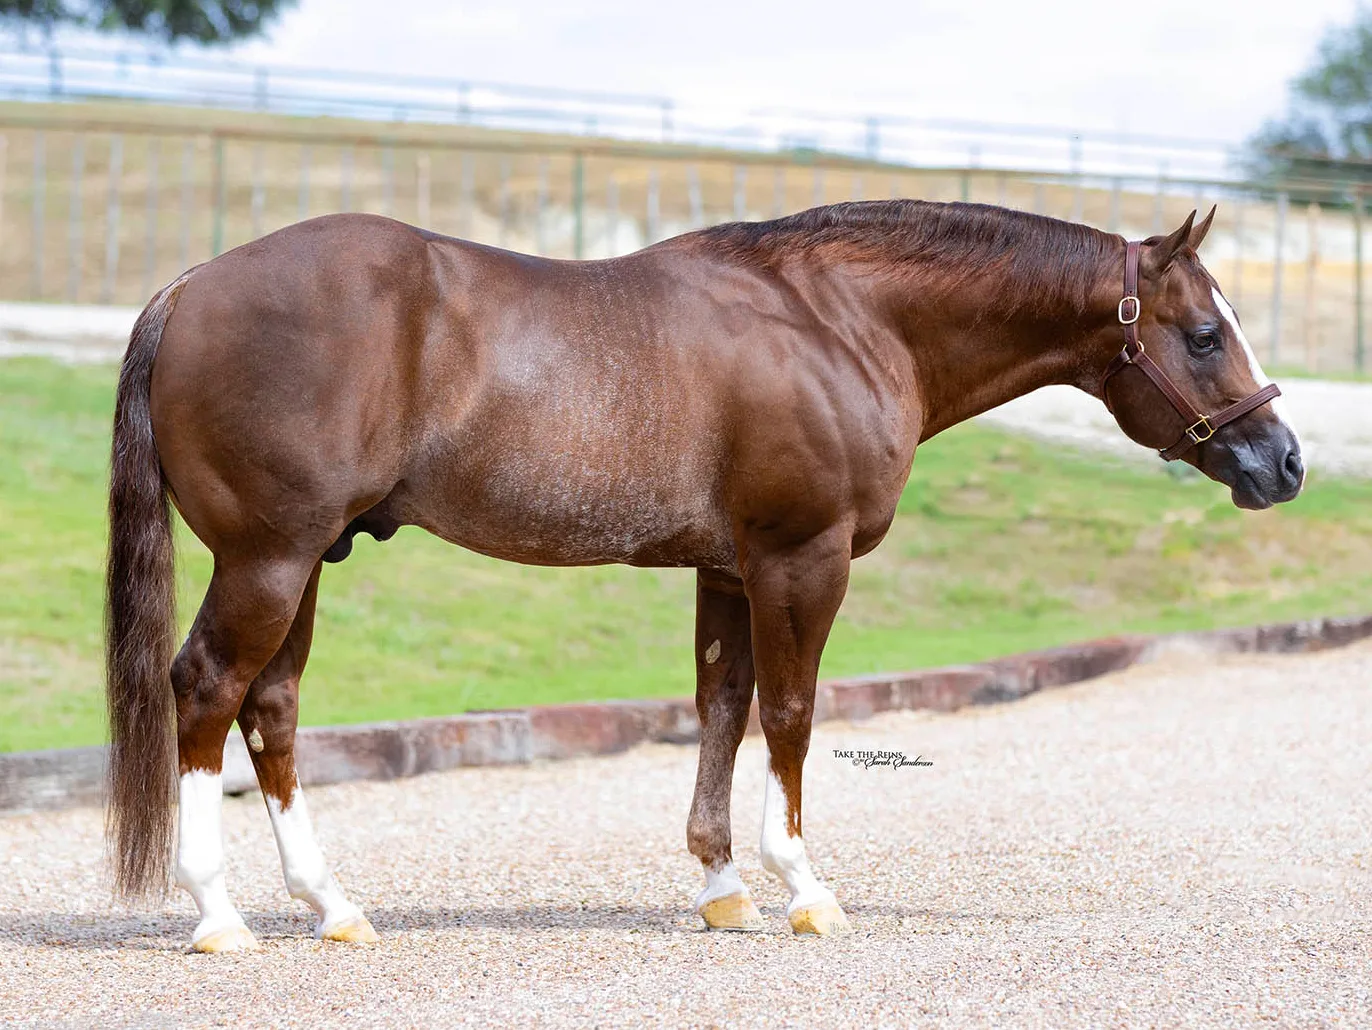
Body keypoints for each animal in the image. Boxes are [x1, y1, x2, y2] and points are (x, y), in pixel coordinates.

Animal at [103, 200, 1303, 951]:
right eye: (1204, 335)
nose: (1282, 462)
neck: (841, 322)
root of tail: (190, 287)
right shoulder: (800, 558)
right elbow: (790, 714)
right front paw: (804, 890)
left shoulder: (728, 570)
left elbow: (722, 704)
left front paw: (725, 890)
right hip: (270, 557)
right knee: (207, 687)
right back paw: (218, 917)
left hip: (305, 559)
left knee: (271, 706)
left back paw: (333, 906)